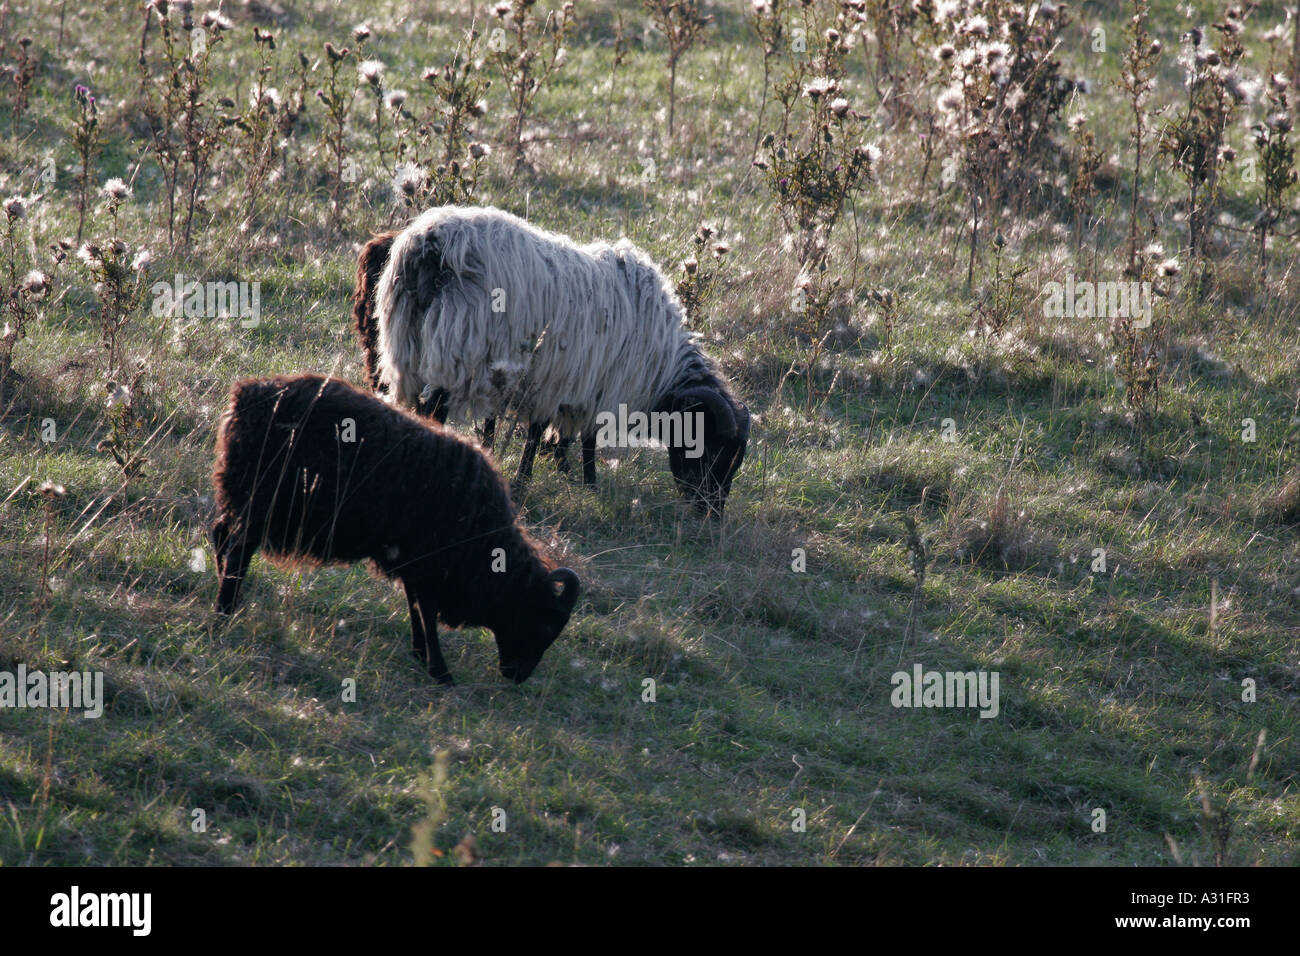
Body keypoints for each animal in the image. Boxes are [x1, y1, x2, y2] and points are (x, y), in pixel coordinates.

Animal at [210, 373, 580, 685]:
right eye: (547, 621)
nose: (518, 676)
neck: (483, 544)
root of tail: (246, 395)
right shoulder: (429, 566)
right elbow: (426, 611)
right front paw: (440, 671)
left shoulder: (416, 564)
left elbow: (415, 605)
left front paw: (420, 654)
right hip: (260, 502)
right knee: (237, 551)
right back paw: (225, 610)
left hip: (240, 495)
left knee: (220, 536)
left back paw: (227, 596)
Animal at [371, 205, 751, 517]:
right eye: (713, 451)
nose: (711, 515)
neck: (660, 365)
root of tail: (428, 246)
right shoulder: (572, 382)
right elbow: (572, 437)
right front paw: (580, 482)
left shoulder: (559, 383)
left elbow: (540, 430)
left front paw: (555, 469)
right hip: (459, 346)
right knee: (434, 407)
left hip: (408, 345)